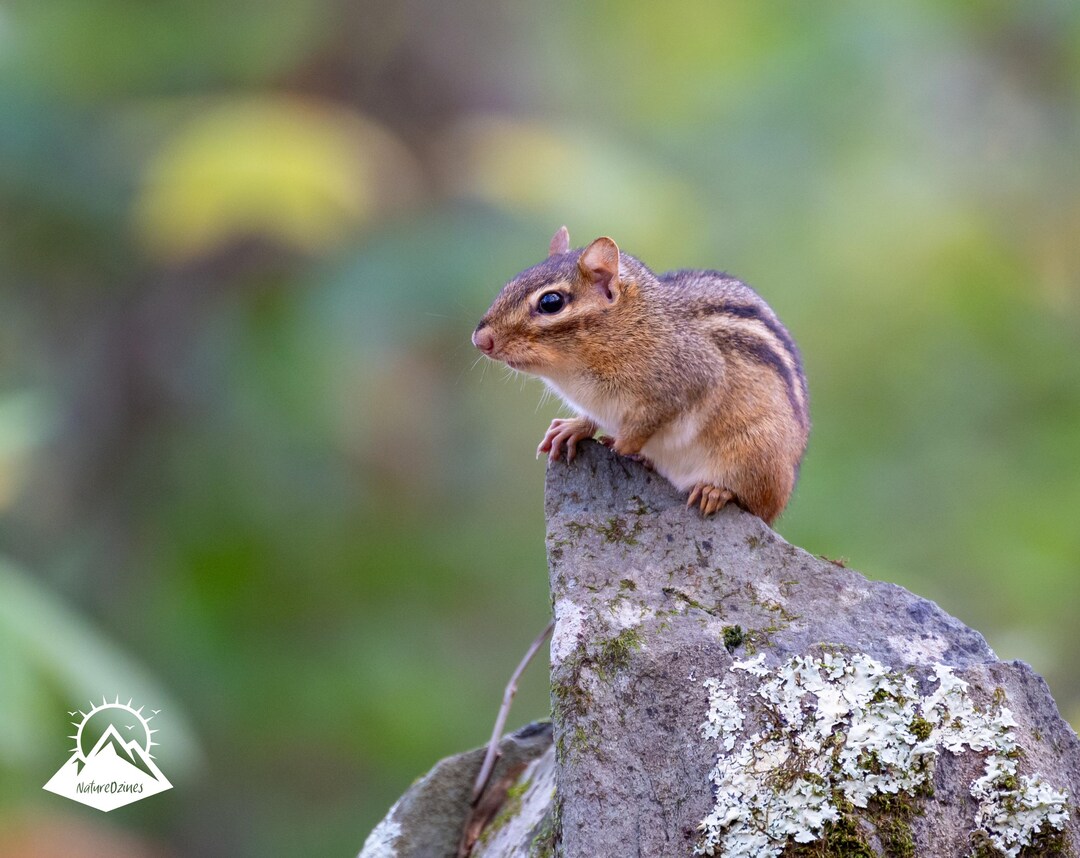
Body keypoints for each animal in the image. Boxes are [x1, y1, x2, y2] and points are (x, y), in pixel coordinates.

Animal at [472, 227, 809, 525]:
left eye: (551, 302)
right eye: (510, 285)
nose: (480, 340)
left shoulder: (691, 379)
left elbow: (646, 423)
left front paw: (620, 445)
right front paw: (572, 429)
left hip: (755, 456)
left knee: (752, 502)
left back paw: (714, 491)